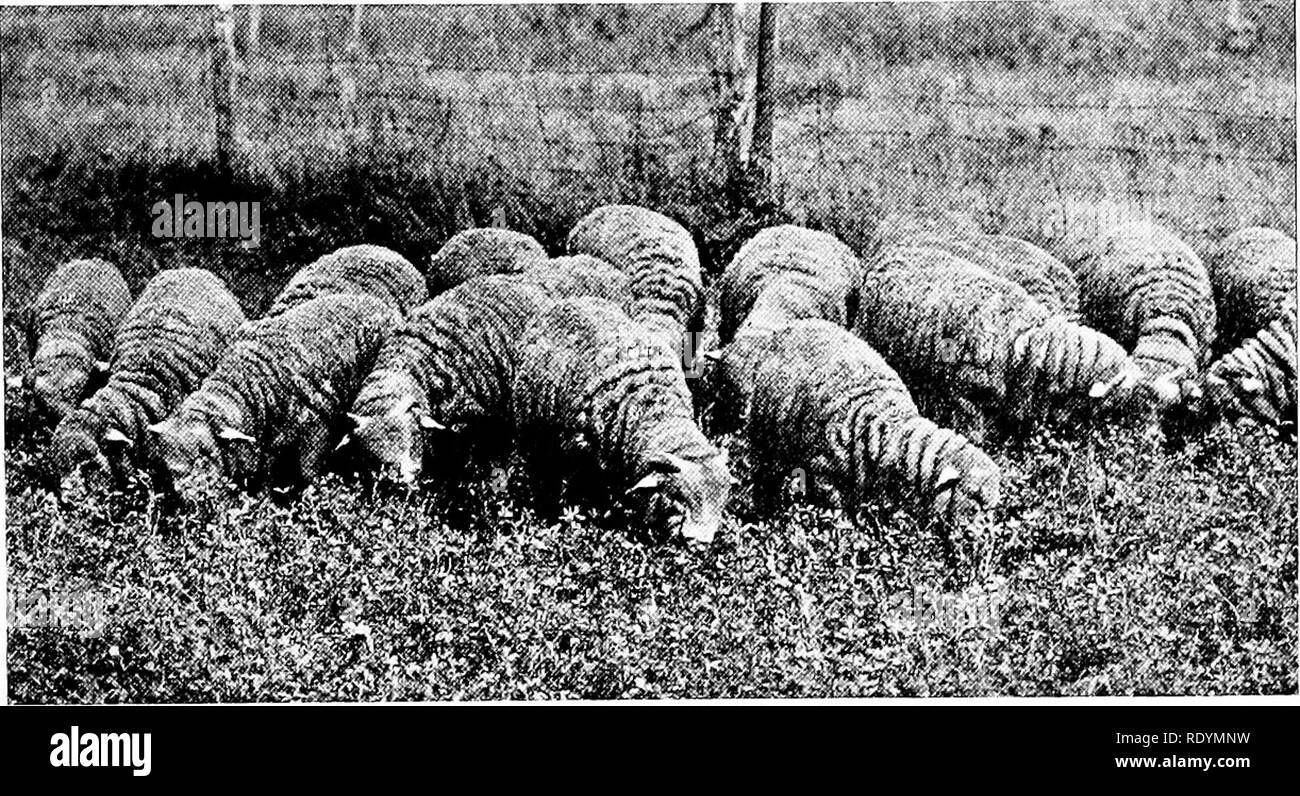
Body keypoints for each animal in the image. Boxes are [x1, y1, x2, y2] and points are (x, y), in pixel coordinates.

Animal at [148, 294, 399, 500]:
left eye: (206, 452)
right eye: (167, 458)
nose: (188, 494)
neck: (249, 384)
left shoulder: (317, 424)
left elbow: (308, 472)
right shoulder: (268, 446)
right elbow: (265, 484)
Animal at [720, 319, 1000, 523]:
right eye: (973, 498)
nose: (982, 538)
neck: (892, 431)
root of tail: (791, 327)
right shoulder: (824, 473)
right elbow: (836, 510)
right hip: (764, 437)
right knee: (765, 476)